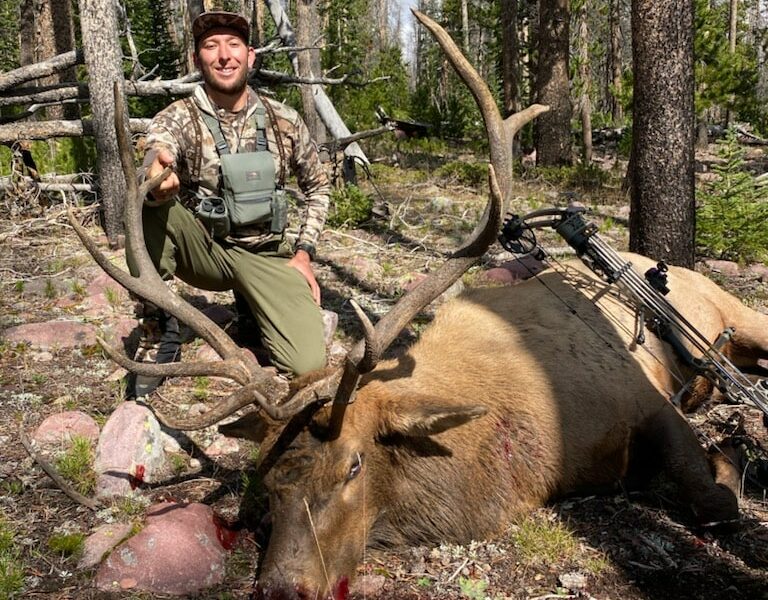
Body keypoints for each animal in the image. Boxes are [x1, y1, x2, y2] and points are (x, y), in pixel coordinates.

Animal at [67, 10, 768, 600]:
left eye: (354, 466)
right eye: (265, 477)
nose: (282, 587)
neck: (535, 451)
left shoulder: (647, 403)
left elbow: (716, 502)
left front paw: (731, 453)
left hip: (738, 312)